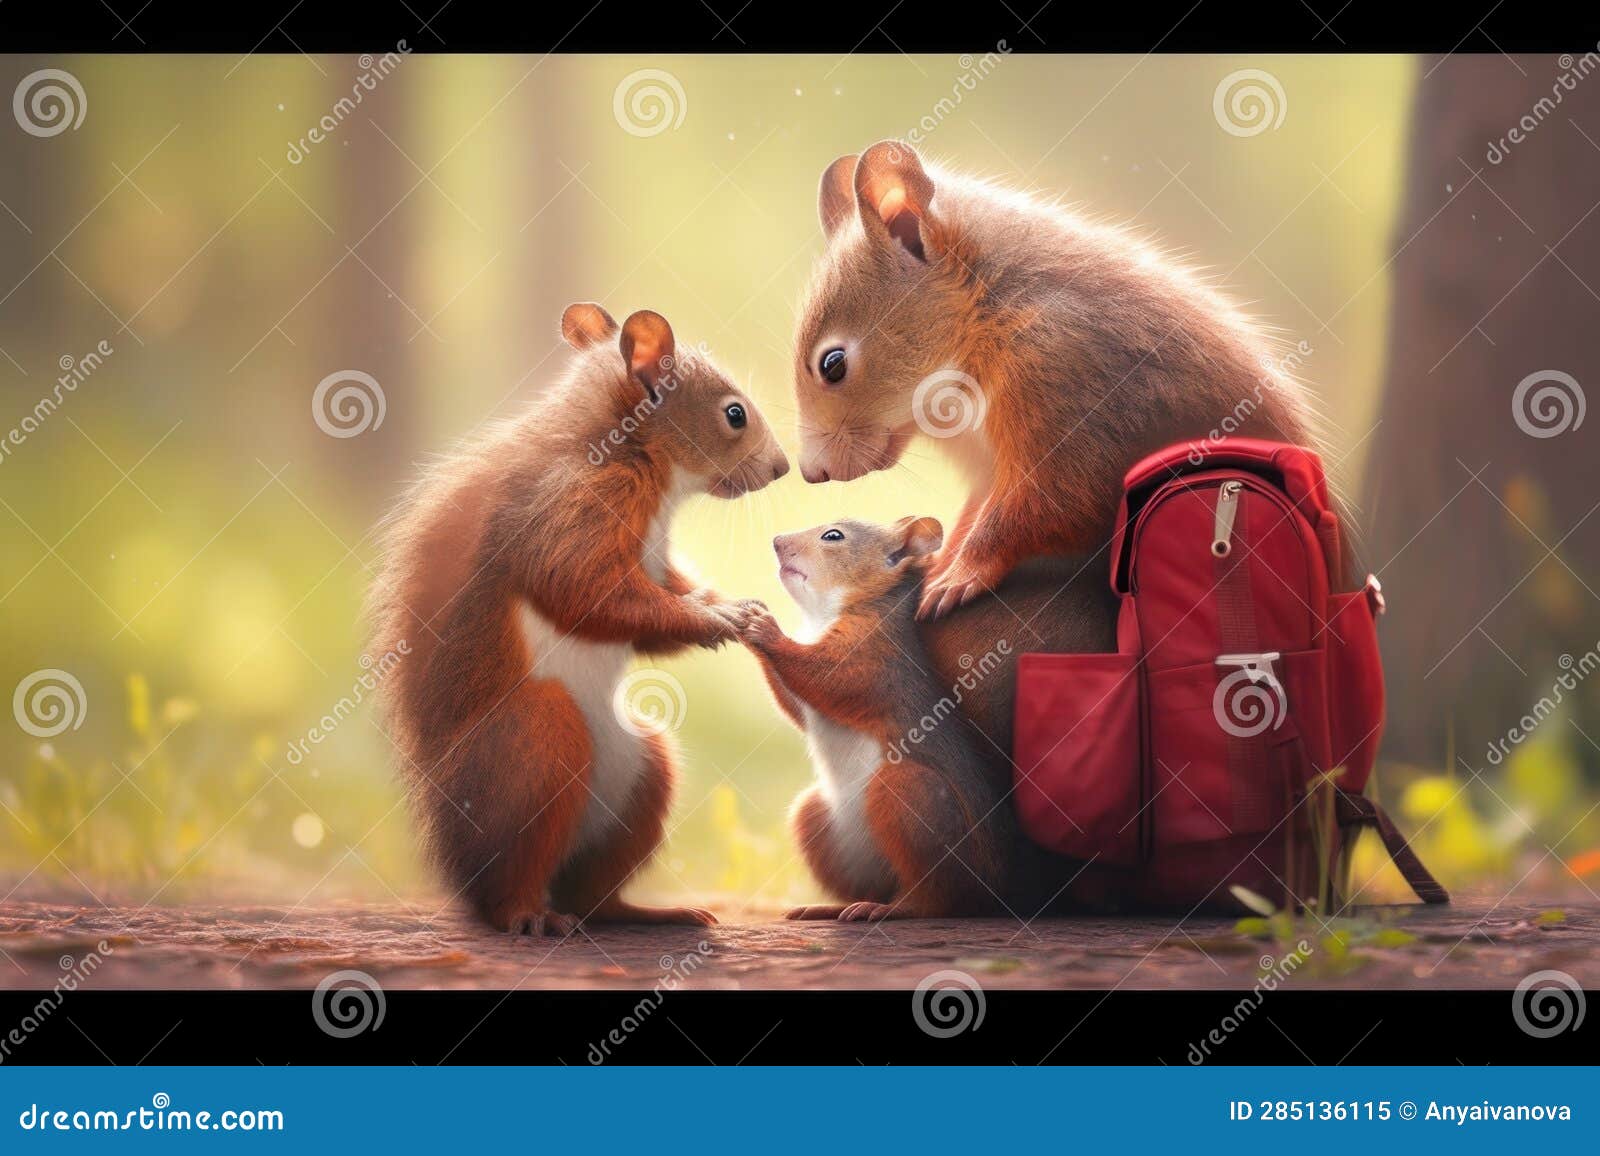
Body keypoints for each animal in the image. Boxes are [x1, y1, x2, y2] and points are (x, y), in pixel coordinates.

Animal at [368, 303, 789, 936]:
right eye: (734, 414)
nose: (782, 467)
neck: (625, 448)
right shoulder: (572, 502)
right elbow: (587, 590)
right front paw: (713, 618)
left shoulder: (654, 561)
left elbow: (651, 615)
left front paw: (733, 605)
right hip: (535, 744)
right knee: (507, 884)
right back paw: (526, 914)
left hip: (645, 770)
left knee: (593, 896)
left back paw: (648, 913)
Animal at [741, 515, 1063, 920]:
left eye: (833, 536)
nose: (778, 541)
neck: (822, 616)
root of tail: (997, 894)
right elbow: (795, 705)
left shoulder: (874, 655)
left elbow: (829, 677)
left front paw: (765, 628)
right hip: (815, 819)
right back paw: (830, 908)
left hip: (913, 795)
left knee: (939, 899)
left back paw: (889, 909)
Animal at [786, 139, 1332, 748]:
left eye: (833, 364)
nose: (811, 471)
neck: (987, 308)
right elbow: (984, 503)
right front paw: (939, 556)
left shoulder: (1066, 374)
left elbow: (1052, 501)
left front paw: (958, 575)